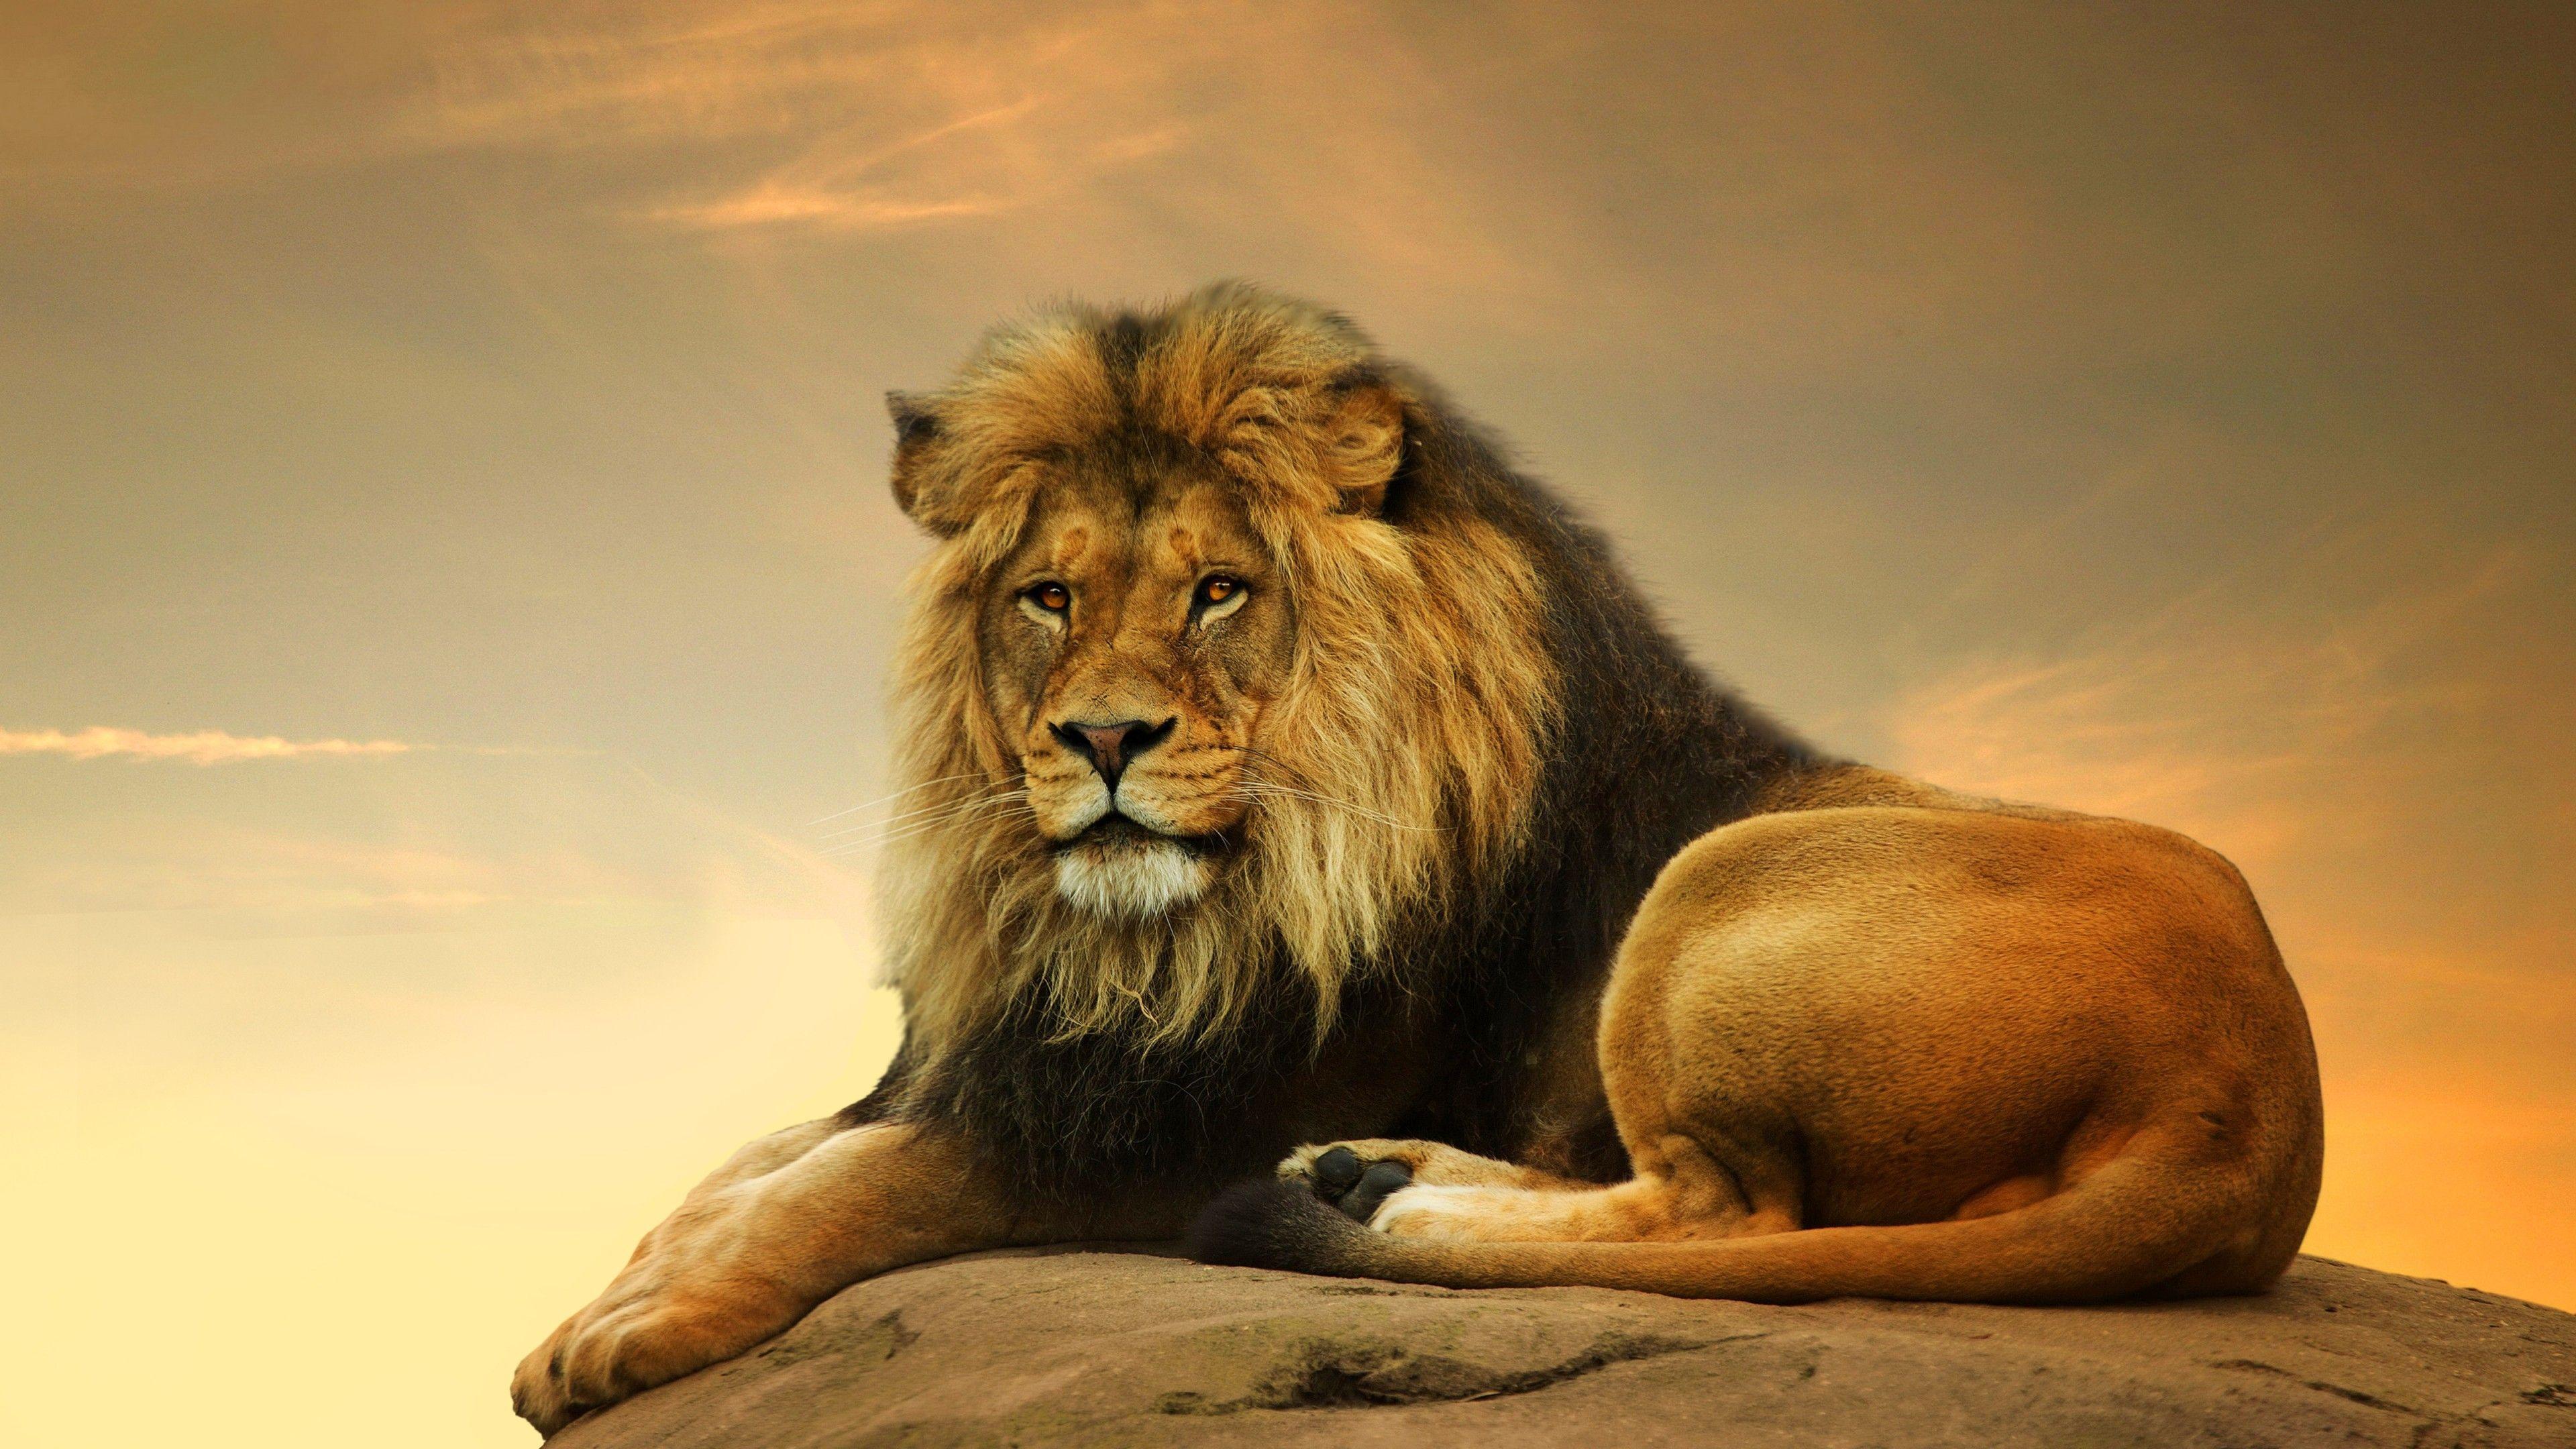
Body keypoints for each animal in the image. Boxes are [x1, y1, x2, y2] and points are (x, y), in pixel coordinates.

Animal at [511, 283, 2323, 1435]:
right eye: (1047, 598)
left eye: (1217, 593)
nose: (1103, 741)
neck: (1152, 930)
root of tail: (2252, 1105)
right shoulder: (1017, 1054)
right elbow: (748, 1163)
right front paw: (617, 1289)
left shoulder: (1166, 1122)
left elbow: (859, 1182)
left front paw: (632, 1331)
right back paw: (1374, 1180)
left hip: (1717, 886)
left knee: (1723, 1208)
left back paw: (1380, 1197)